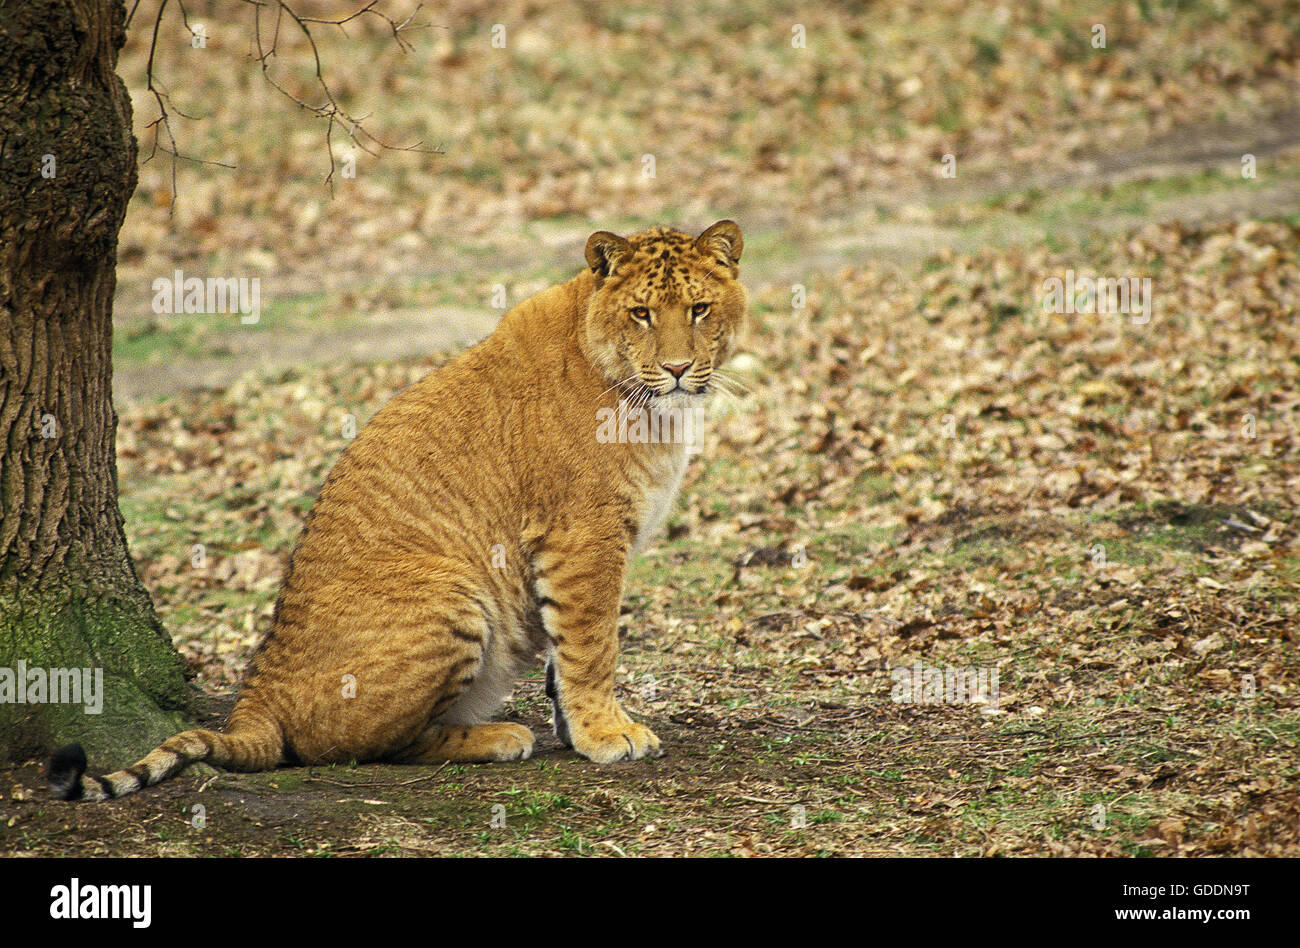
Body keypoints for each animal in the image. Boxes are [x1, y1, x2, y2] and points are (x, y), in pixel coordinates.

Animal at [49, 220, 746, 800]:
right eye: (641, 314)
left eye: (699, 309)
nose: (679, 368)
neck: (656, 407)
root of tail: (255, 698)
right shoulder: (581, 535)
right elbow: (591, 645)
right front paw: (607, 734)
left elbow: (561, 655)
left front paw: (578, 731)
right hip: (451, 596)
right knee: (364, 747)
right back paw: (499, 737)